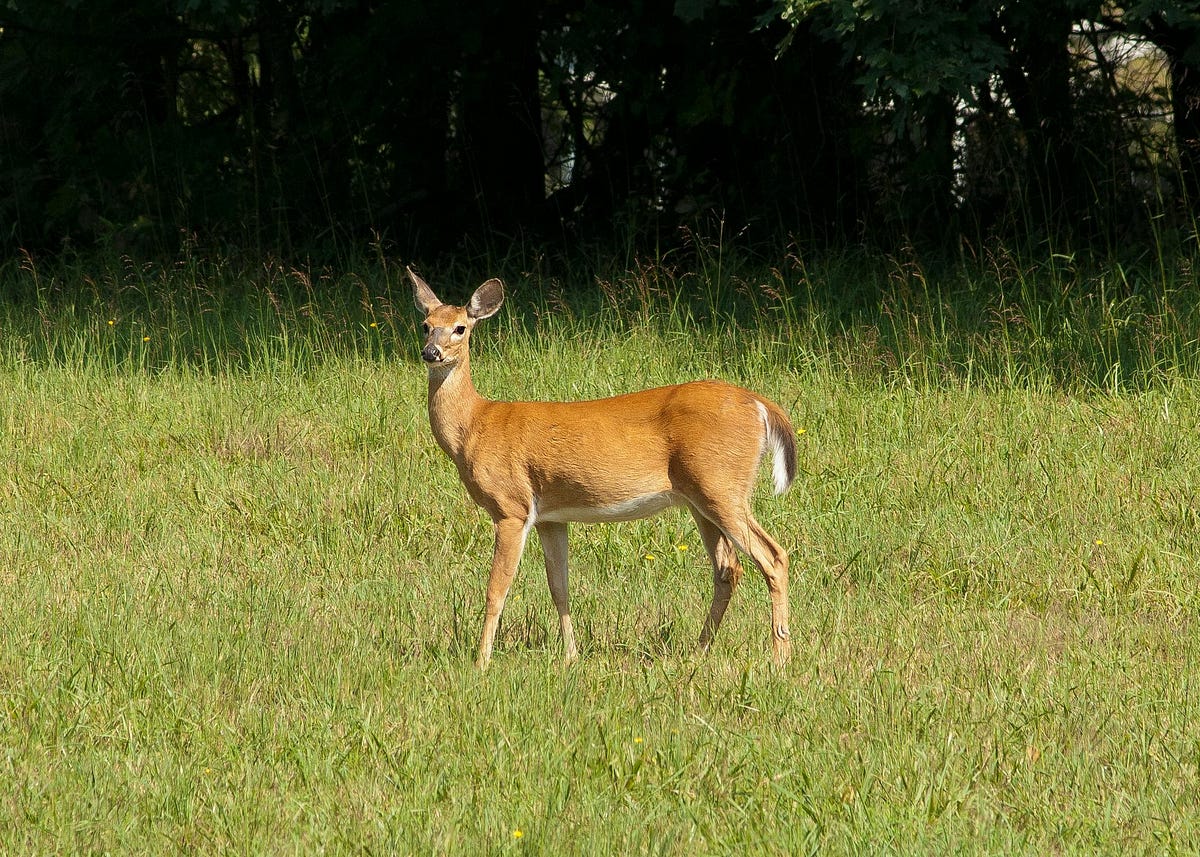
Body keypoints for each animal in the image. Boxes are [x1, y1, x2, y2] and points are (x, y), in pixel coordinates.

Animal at [409, 266, 797, 669]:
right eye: (425, 325)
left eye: (460, 328)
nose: (431, 352)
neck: (475, 426)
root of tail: (761, 405)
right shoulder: (550, 516)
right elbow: (559, 587)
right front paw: (571, 656)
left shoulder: (510, 506)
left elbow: (496, 589)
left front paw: (481, 661)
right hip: (700, 497)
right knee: (727, 568)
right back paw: (699, 650)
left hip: (721, 485)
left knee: (773, 557)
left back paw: (780, 658)